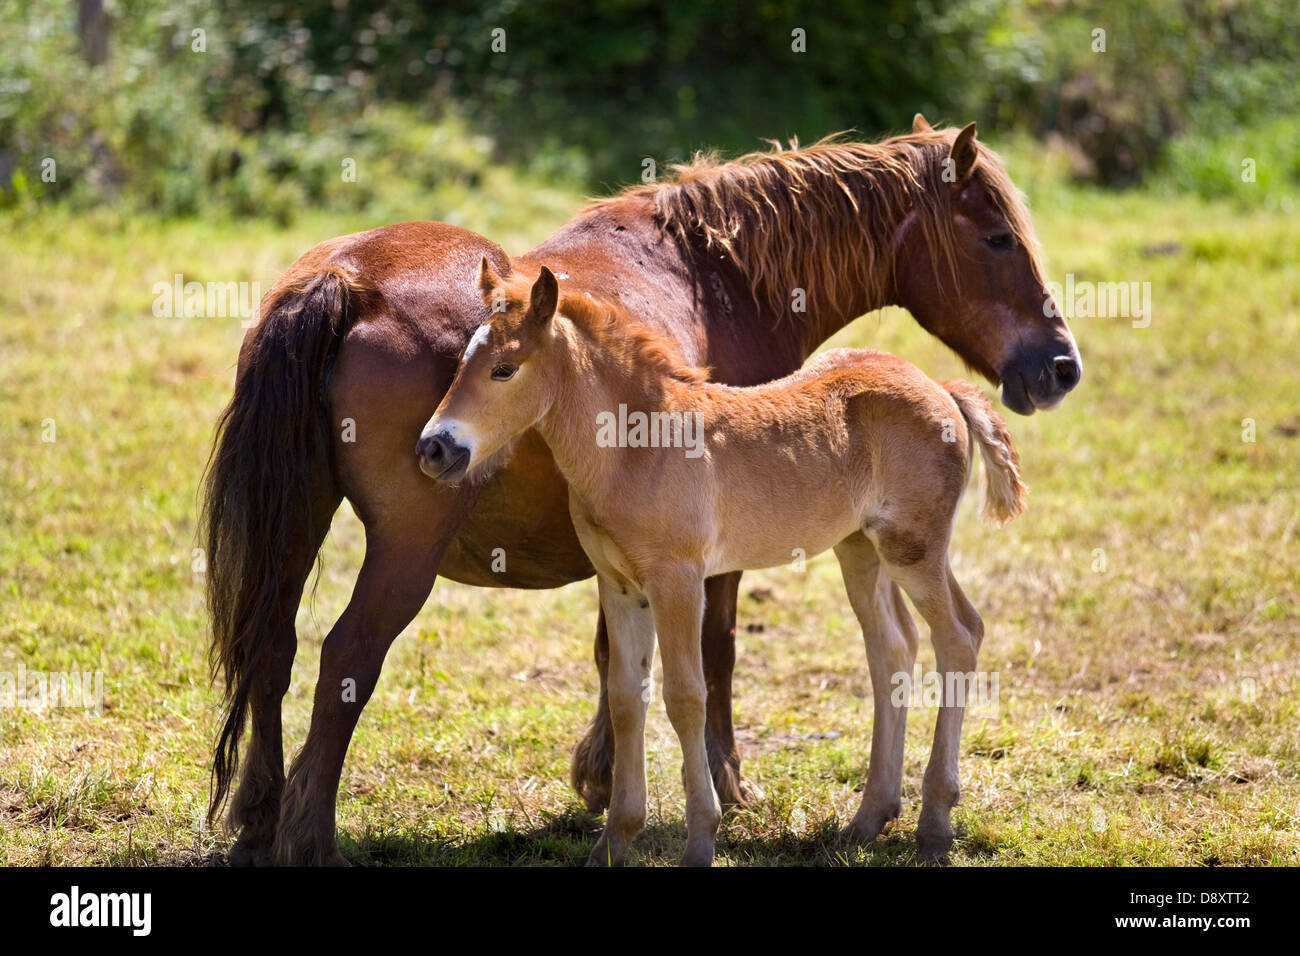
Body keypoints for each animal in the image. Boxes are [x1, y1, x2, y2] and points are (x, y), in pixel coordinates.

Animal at [418, 262, 1027, 865]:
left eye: (504, 369)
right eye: (461, 363)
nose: (433, 448)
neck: (635, 448)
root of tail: (942, 388)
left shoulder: (679, 581)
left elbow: (686, 696)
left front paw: (699, 841)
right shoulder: (620, 587)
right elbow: (625, 697)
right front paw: (614, 840)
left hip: (914, 546)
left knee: (959, 635)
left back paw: (934, 825)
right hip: (860, 546)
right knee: (892, 647)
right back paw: (867, 820)